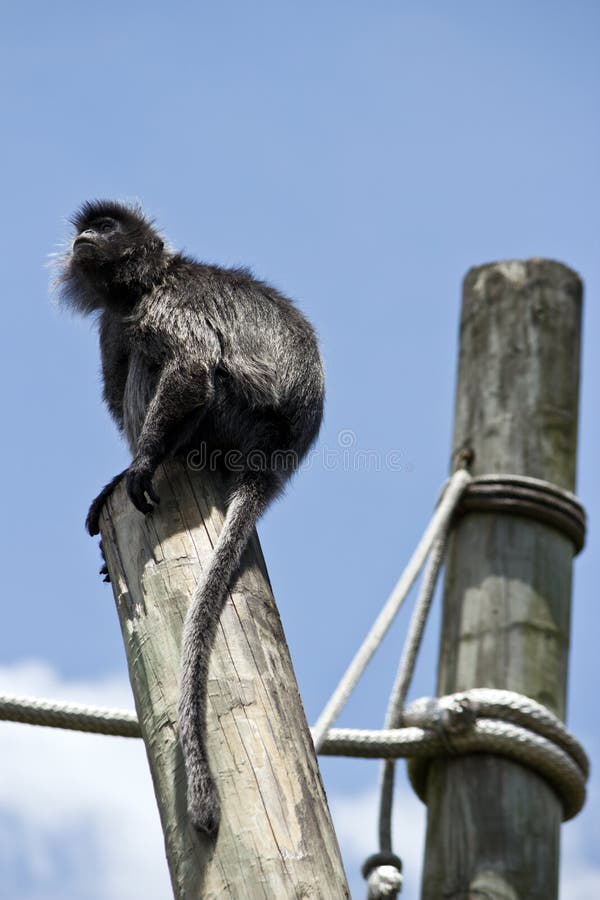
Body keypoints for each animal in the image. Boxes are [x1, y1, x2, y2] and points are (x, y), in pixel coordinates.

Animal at [56, 200, 324, 836]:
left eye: (106, 227)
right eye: (87, 227)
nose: (84, 237)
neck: (138, 287)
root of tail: (276, 454)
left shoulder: (162, 306)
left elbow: (190, 366)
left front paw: (140, 466)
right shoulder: (115, 320)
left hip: (231, 416)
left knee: (162, 366)